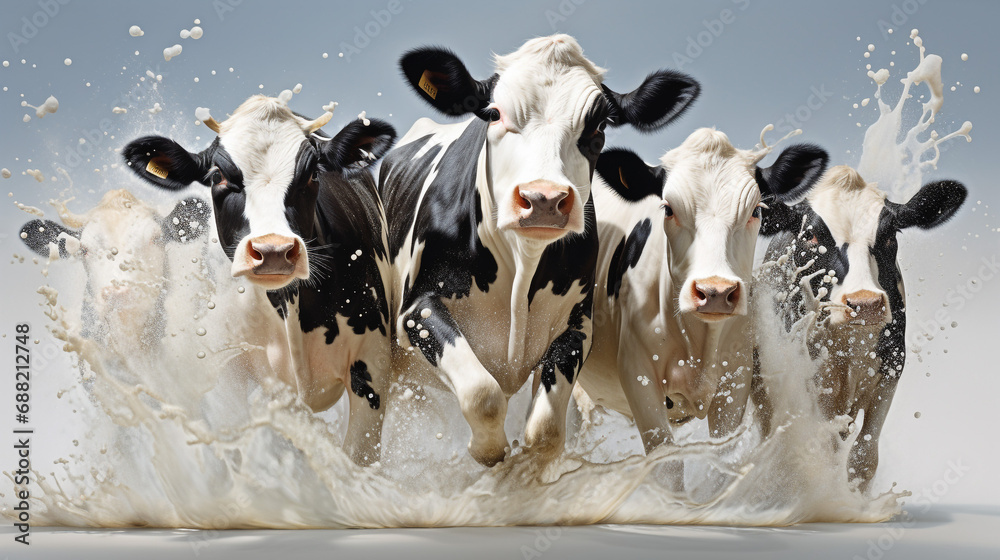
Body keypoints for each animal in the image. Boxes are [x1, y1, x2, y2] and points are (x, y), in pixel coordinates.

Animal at [121, 95, 397, 465]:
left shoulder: (372, 365)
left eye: (313, 174)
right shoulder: (228, 374)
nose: (274, 250)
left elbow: (357, 459)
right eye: (218, 176)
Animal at [379, 34, 701, 466]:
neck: (522, 260)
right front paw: (487, 454)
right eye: (494, 113)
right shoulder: (418, 308)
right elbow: (483, 395)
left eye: (599, 125)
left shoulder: (577, 326)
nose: (543, 199)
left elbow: (545, 430)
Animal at [576, 128, 828, 452]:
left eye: (755, 211)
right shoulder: (639, 378)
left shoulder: (735, 382)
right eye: (668, 209)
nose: (715, 292)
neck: (700, 345)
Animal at [753, 165, 966, 486]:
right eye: (810, 235)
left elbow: (864, 458)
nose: (865, 303)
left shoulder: (891, 369)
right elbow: (824, 452)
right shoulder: (812, 383)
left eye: (890, 234)